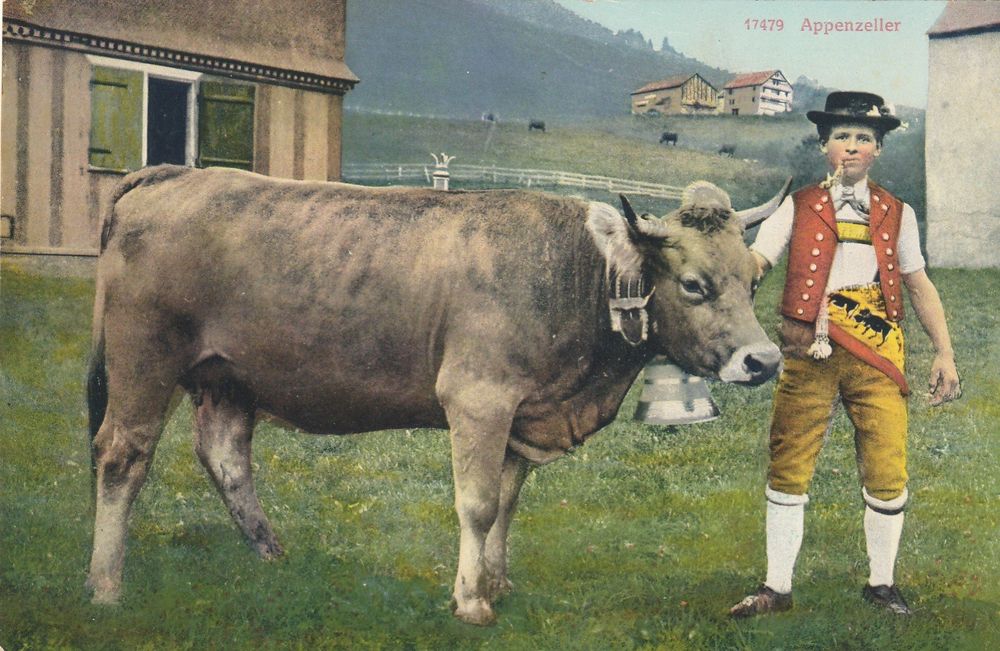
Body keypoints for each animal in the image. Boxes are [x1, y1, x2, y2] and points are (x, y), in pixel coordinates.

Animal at [85, 165, 788, 625]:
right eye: (693, 284)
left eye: (755, 279)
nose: (764, 360)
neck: (571, 273)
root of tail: (173, 174)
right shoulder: (479, 400)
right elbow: (477, 504)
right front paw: (471, 601)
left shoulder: (522, 413)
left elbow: (507, 503)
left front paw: (496, 582)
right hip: (145, 359)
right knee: (123, 457)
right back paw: (105, 585)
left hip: (228, 376)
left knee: (226, 457)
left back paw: (272, 554)